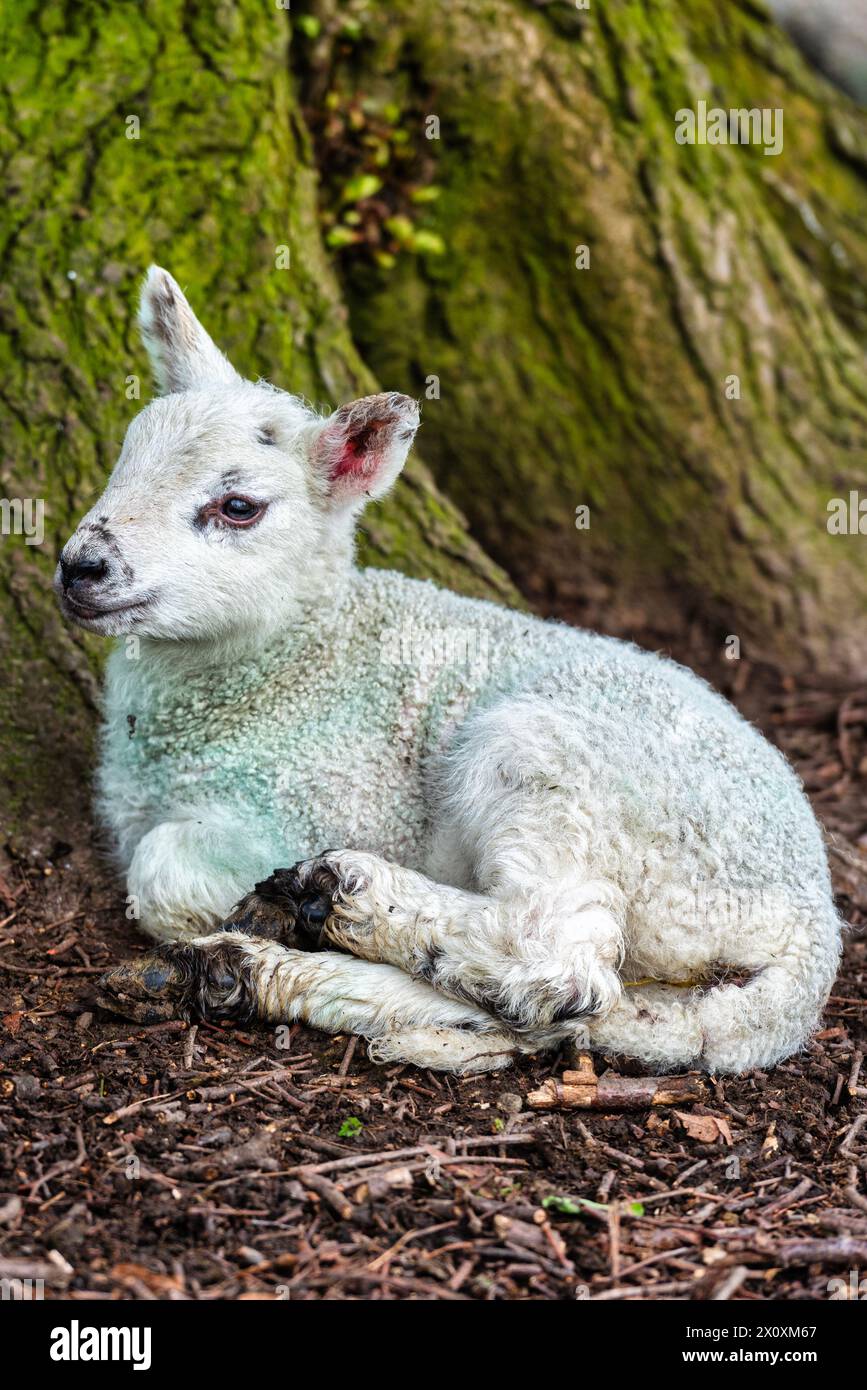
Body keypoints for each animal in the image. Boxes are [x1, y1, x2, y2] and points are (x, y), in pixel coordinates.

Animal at [55, 266, 842, 1075]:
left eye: (238, 506)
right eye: (123, 459)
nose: (82, 567)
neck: (292, 660)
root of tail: (809, 946)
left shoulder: (322, 798)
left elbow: (160, 874)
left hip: (562, 775)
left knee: (561, 962)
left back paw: (340, 897)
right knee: (572, 1010)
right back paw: (256, 972)